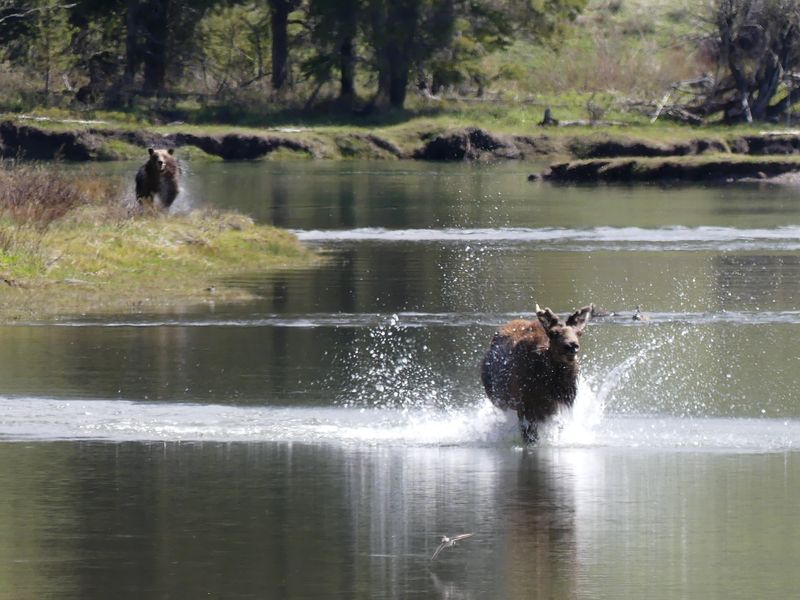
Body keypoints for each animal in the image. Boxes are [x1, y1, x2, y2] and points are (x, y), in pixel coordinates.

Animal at [481, 304, 593, 443]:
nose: (572, 346)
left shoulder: (560, 405)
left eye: (579, 333)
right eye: (553, 333)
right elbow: (530, 437)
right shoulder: (525, 405)